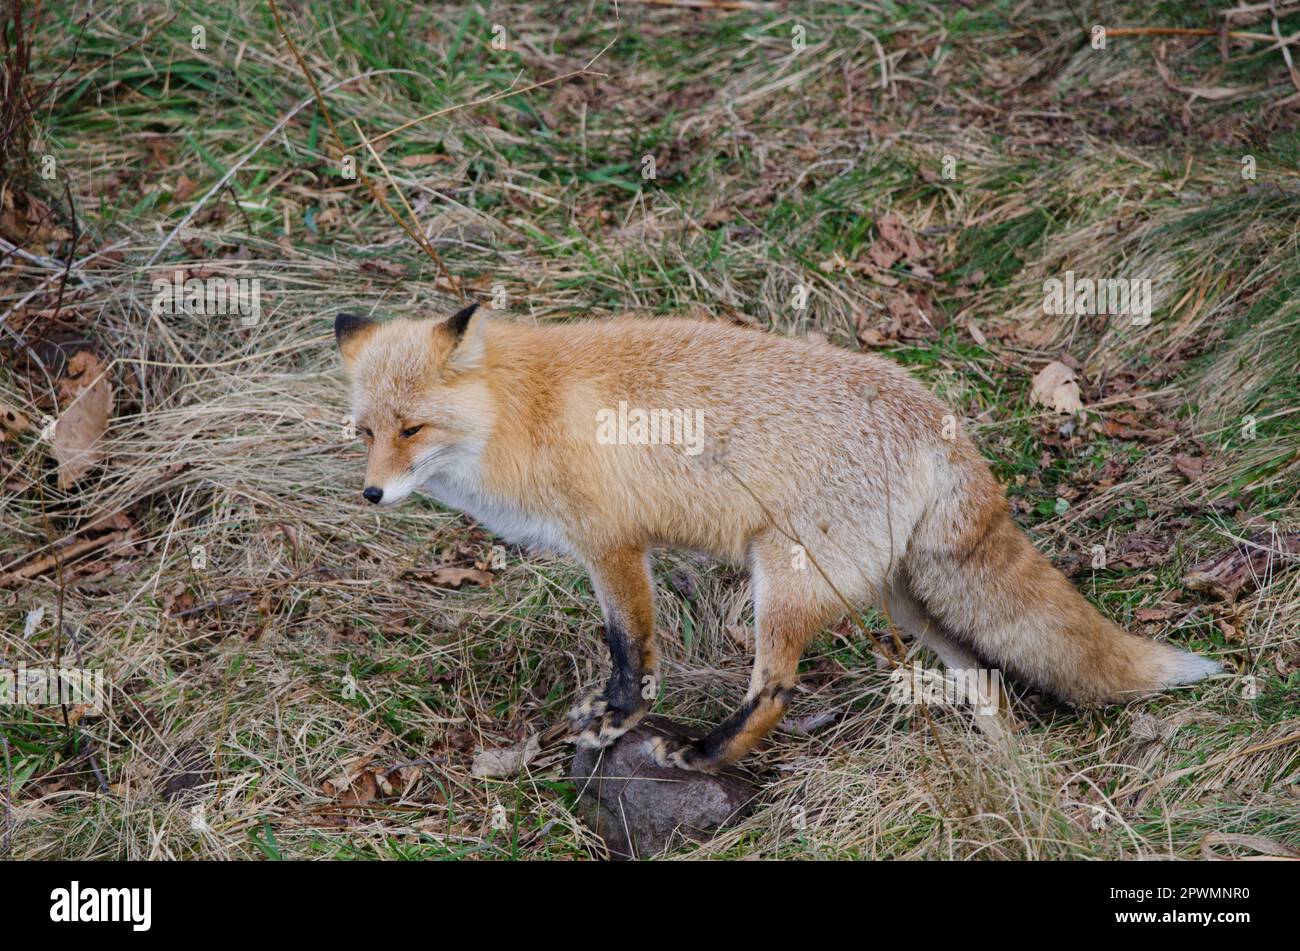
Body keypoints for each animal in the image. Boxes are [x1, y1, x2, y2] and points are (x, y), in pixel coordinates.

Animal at [334, 304, 1220, 772]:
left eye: (413, 429)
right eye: (366, 432)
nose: (372, 492)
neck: (522, 411)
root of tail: (940, 418)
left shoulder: (613, 544)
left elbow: (631, 650)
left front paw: (617, 721)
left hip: (786, 579)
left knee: (777, 687)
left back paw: (707, 754)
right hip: (907, 599)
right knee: (985, 674)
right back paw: (1005, 765)